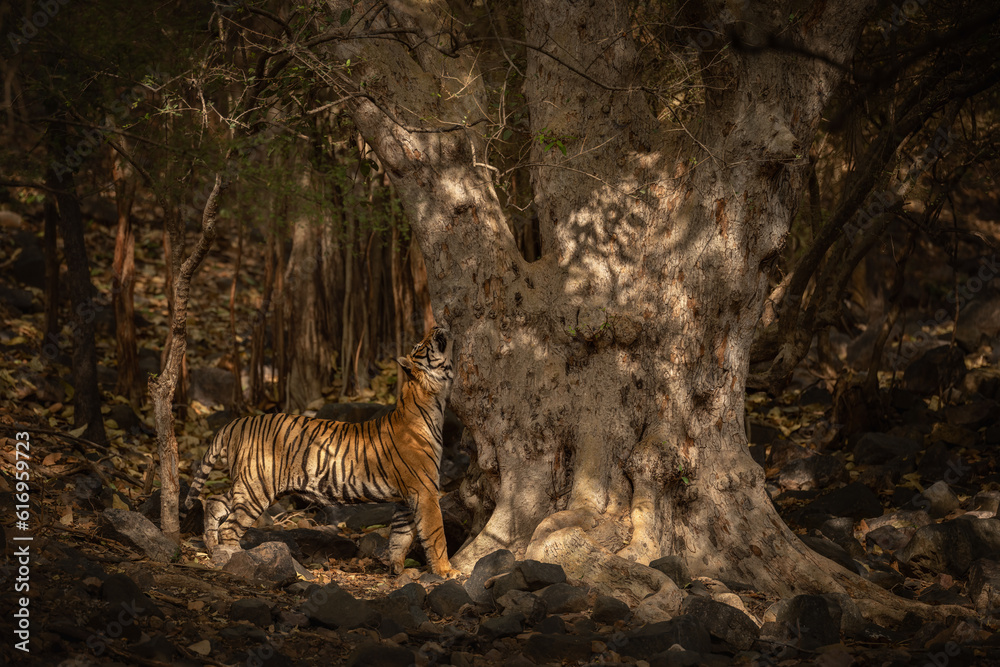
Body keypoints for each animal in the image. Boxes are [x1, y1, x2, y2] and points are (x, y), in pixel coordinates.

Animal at [183, 325, 458, 577]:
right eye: (421, 345)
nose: (437, 325)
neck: (431, 401)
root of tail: (239, 421)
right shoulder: (424, 491)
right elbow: (436, 534)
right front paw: (447, 571)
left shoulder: (405, 499)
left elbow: (400, 537)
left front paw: (398, 570)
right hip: (256, 487)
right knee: (230, 527)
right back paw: (235, 558)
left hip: (249, 482)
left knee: (214, 502)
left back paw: (212, 547)